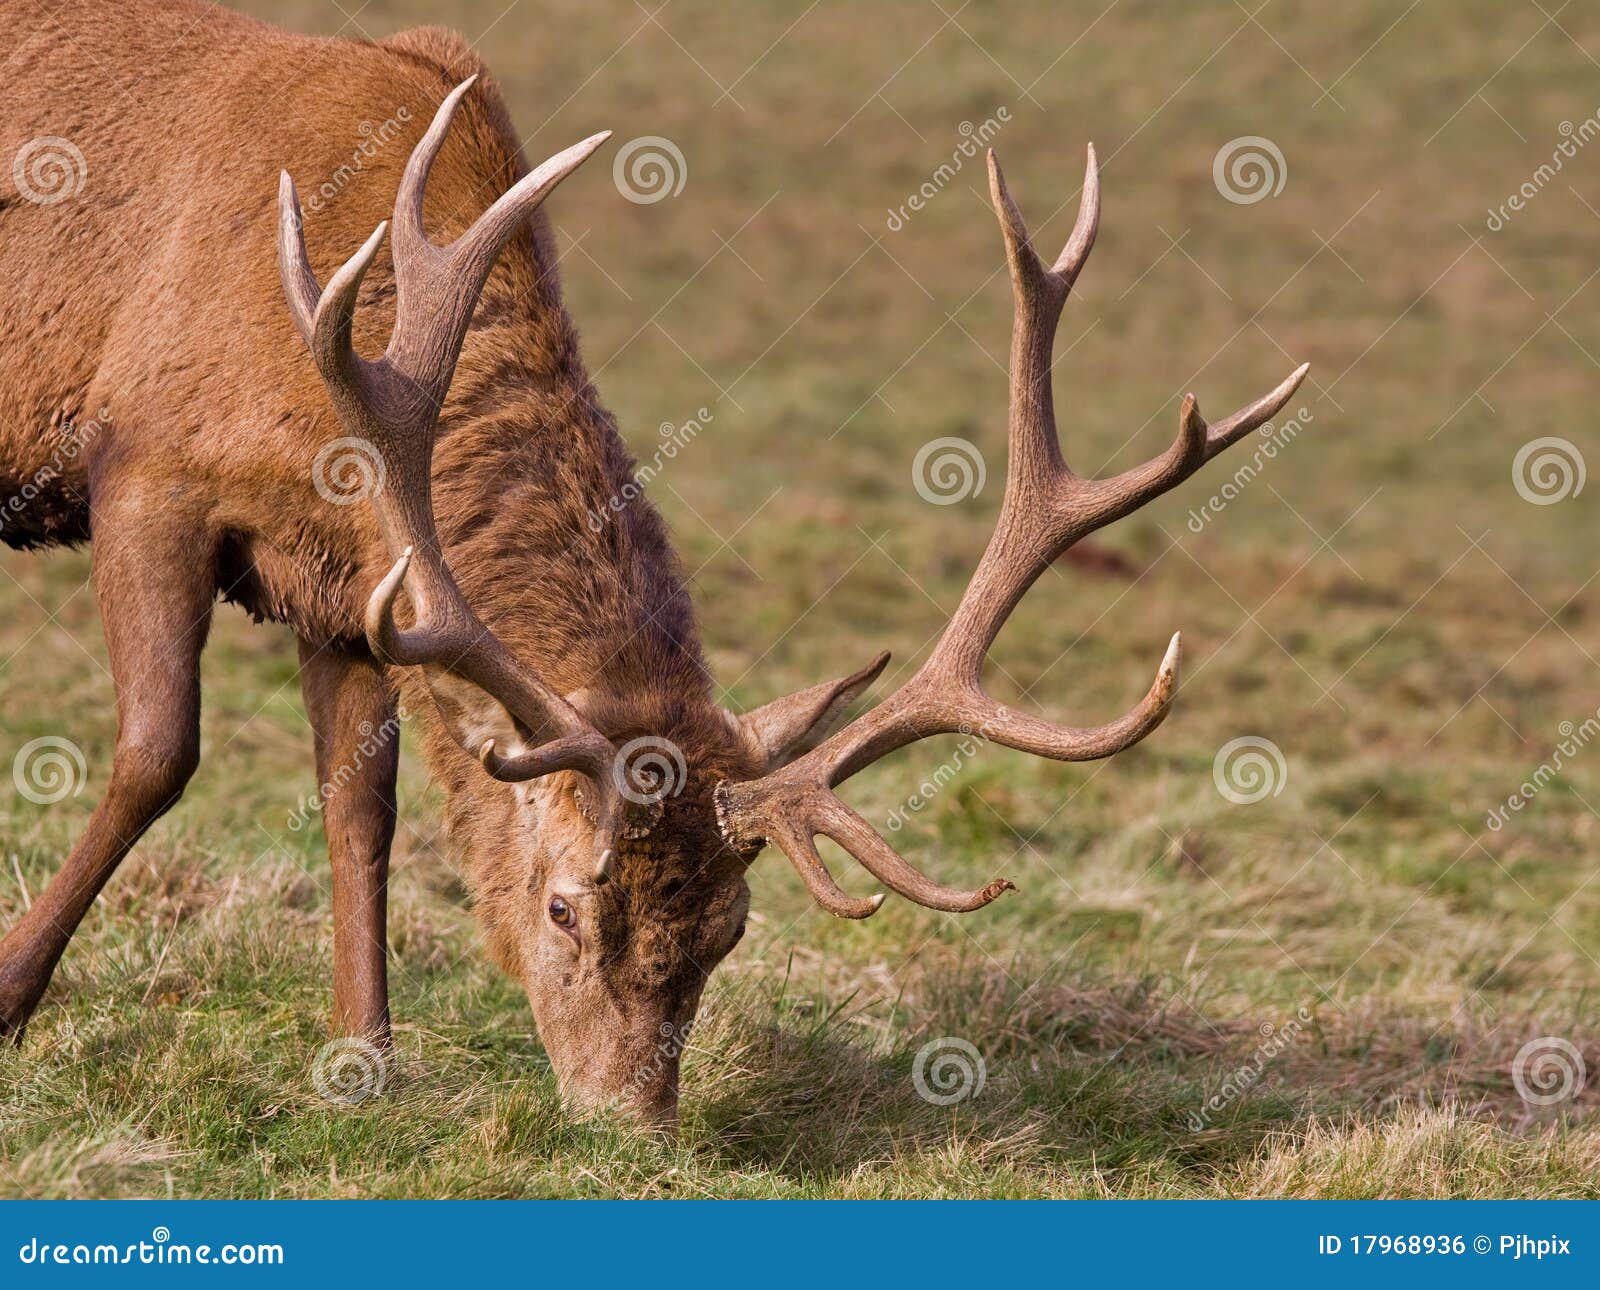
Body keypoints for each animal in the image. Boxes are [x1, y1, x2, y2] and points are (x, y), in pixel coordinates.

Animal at [0, 0, 1307, 1126]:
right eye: (565, 907)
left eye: (730, 929)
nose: (634, 1123)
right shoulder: (145, 469)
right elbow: (157, 753)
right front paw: (13, 999)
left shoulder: (345, 589)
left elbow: (359, 812)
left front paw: (364, 1059)